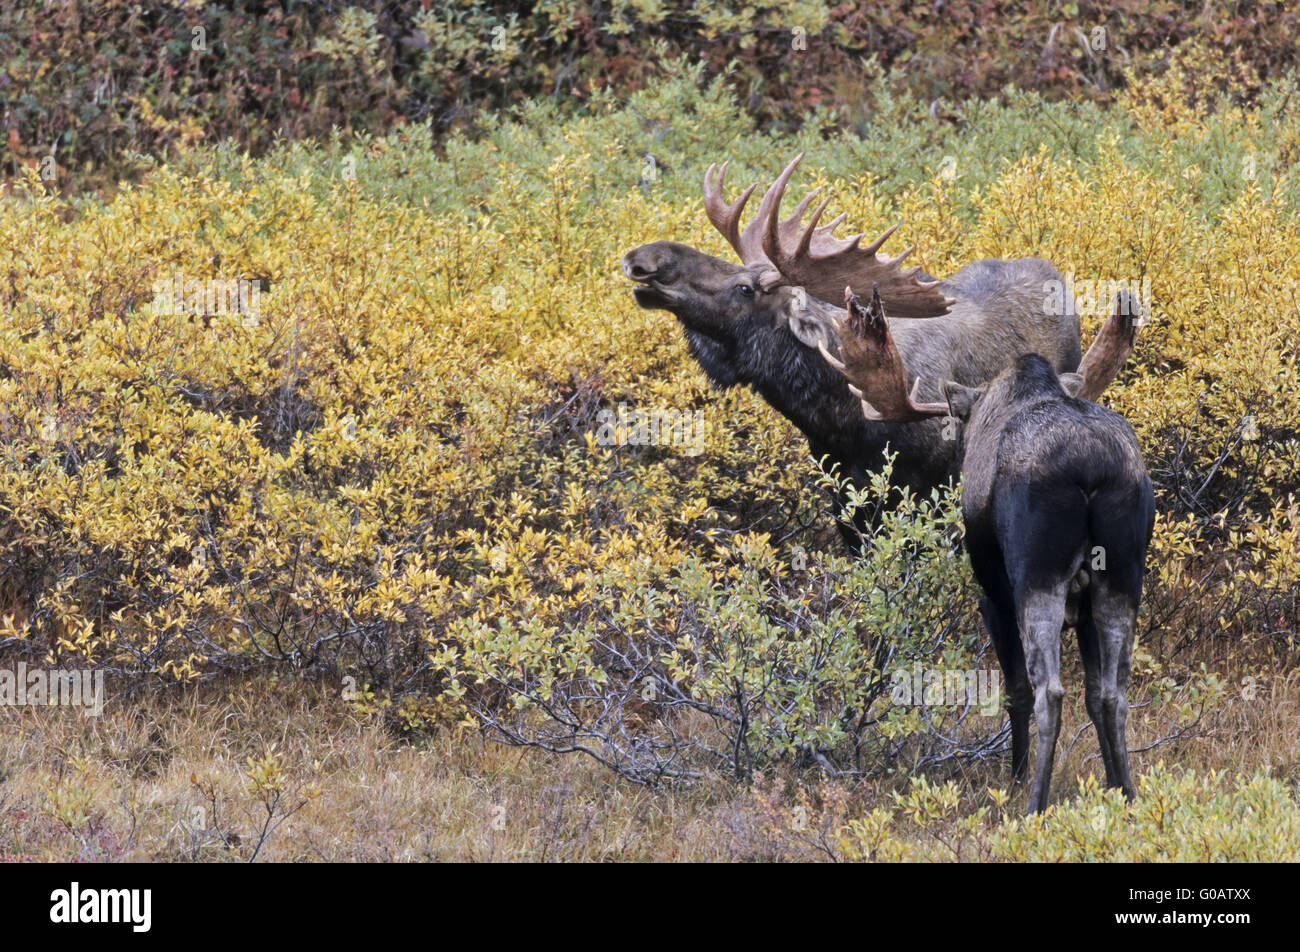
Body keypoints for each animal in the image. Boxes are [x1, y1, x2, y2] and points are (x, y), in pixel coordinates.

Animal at [822, 282, 1152, 813]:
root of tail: (1089, 470)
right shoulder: (1085, 604)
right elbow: (1093, 695)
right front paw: (1111, 783)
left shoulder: (991, 593)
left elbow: (1015, 689)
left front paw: (1014, 777)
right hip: (1121, 577)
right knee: (1113, 692)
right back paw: (1128, 792)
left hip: (1036, 576)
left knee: (1048, 691)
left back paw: (1033, 801)